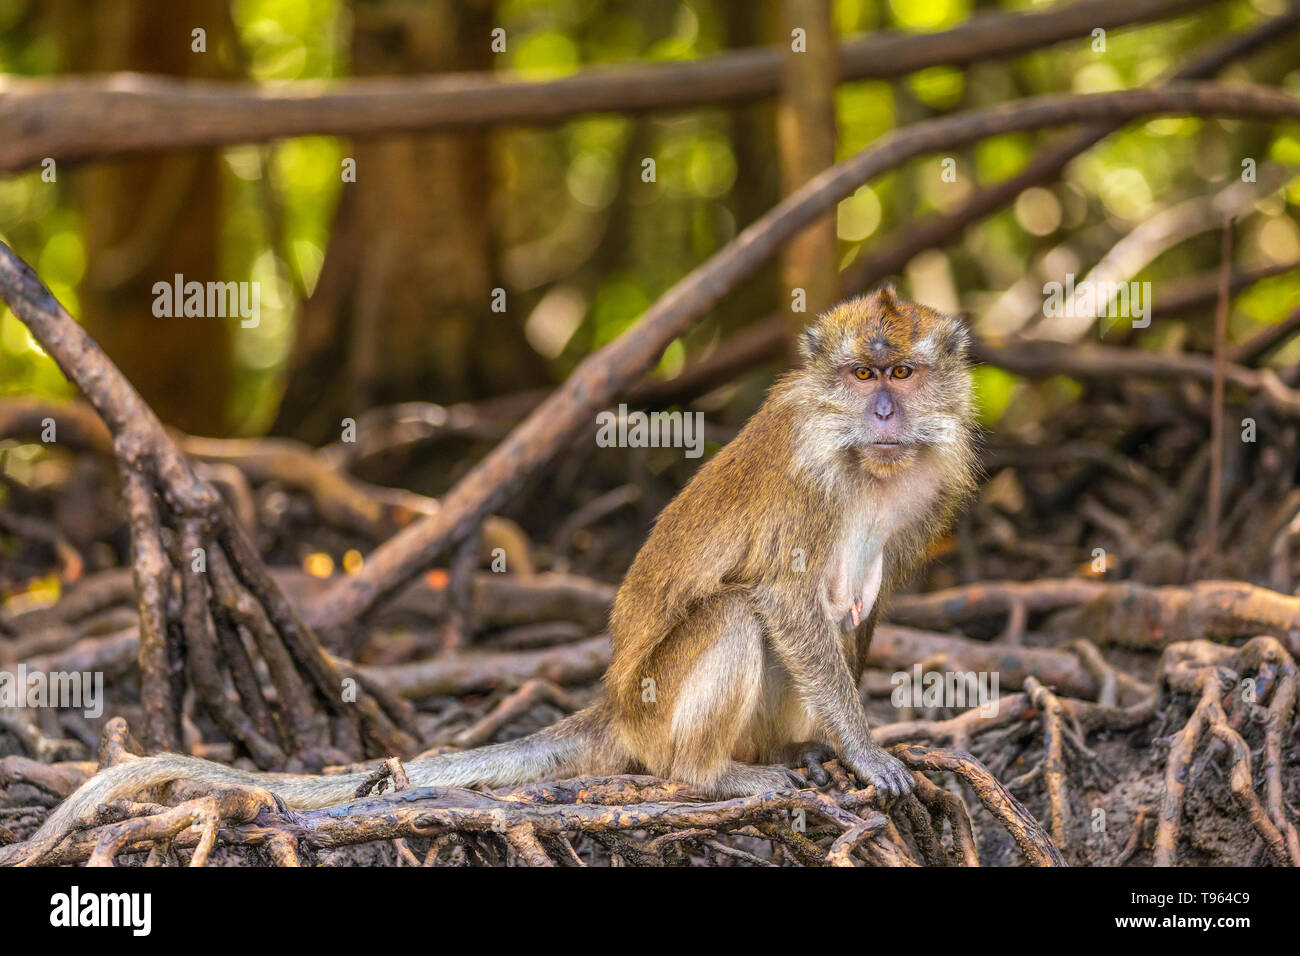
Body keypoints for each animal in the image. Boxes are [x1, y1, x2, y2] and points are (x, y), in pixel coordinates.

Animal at [32, 285, 978, 842]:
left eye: (901, 372)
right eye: (861, 376)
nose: (885, 411)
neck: (864, 464)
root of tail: (613, 708)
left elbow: (866, 607)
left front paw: (851, 744)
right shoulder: (806, 483)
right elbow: (782, 596)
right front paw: (863, 749)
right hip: (655, 711)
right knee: (737, 614)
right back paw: (711, 773)